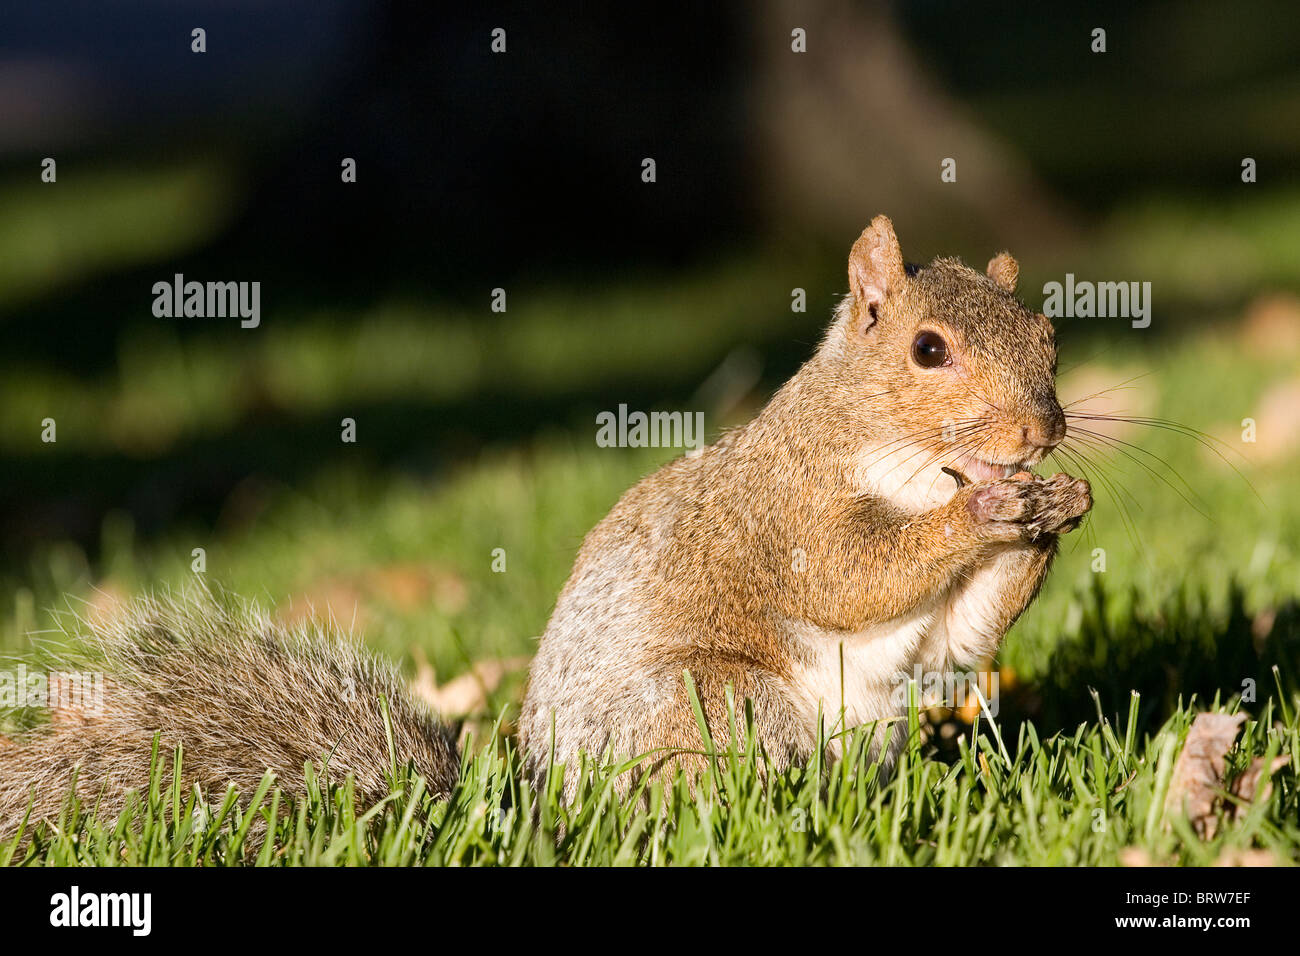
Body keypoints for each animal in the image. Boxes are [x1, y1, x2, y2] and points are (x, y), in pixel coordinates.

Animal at [0, 216, 1089, 833]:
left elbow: (959, 639)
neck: (900, 454)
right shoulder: (787, 505)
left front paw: (1053, 515)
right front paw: (985, 509)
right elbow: (849, 570)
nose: (1042, 432)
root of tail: (543, 809)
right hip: (704, 702)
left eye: (1049, 335)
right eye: (926, 348)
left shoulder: (941, 636)